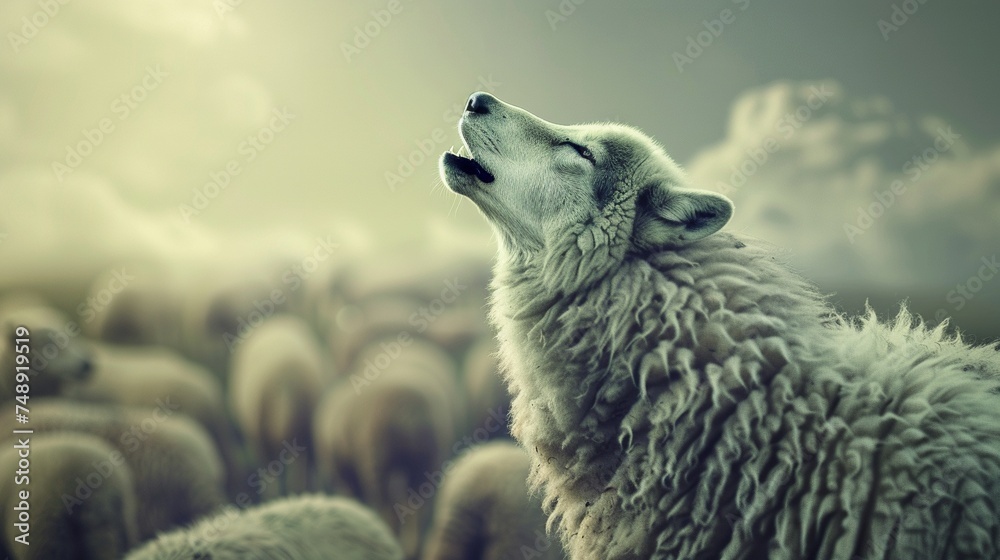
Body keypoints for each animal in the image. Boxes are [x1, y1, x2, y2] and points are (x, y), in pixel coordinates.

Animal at [313, 336, 462, 559]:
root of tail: (407, 413)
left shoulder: (346, 475)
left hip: (378, 460)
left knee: (388, 508)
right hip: (423, 462)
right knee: (415, 508)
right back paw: (411, 547)